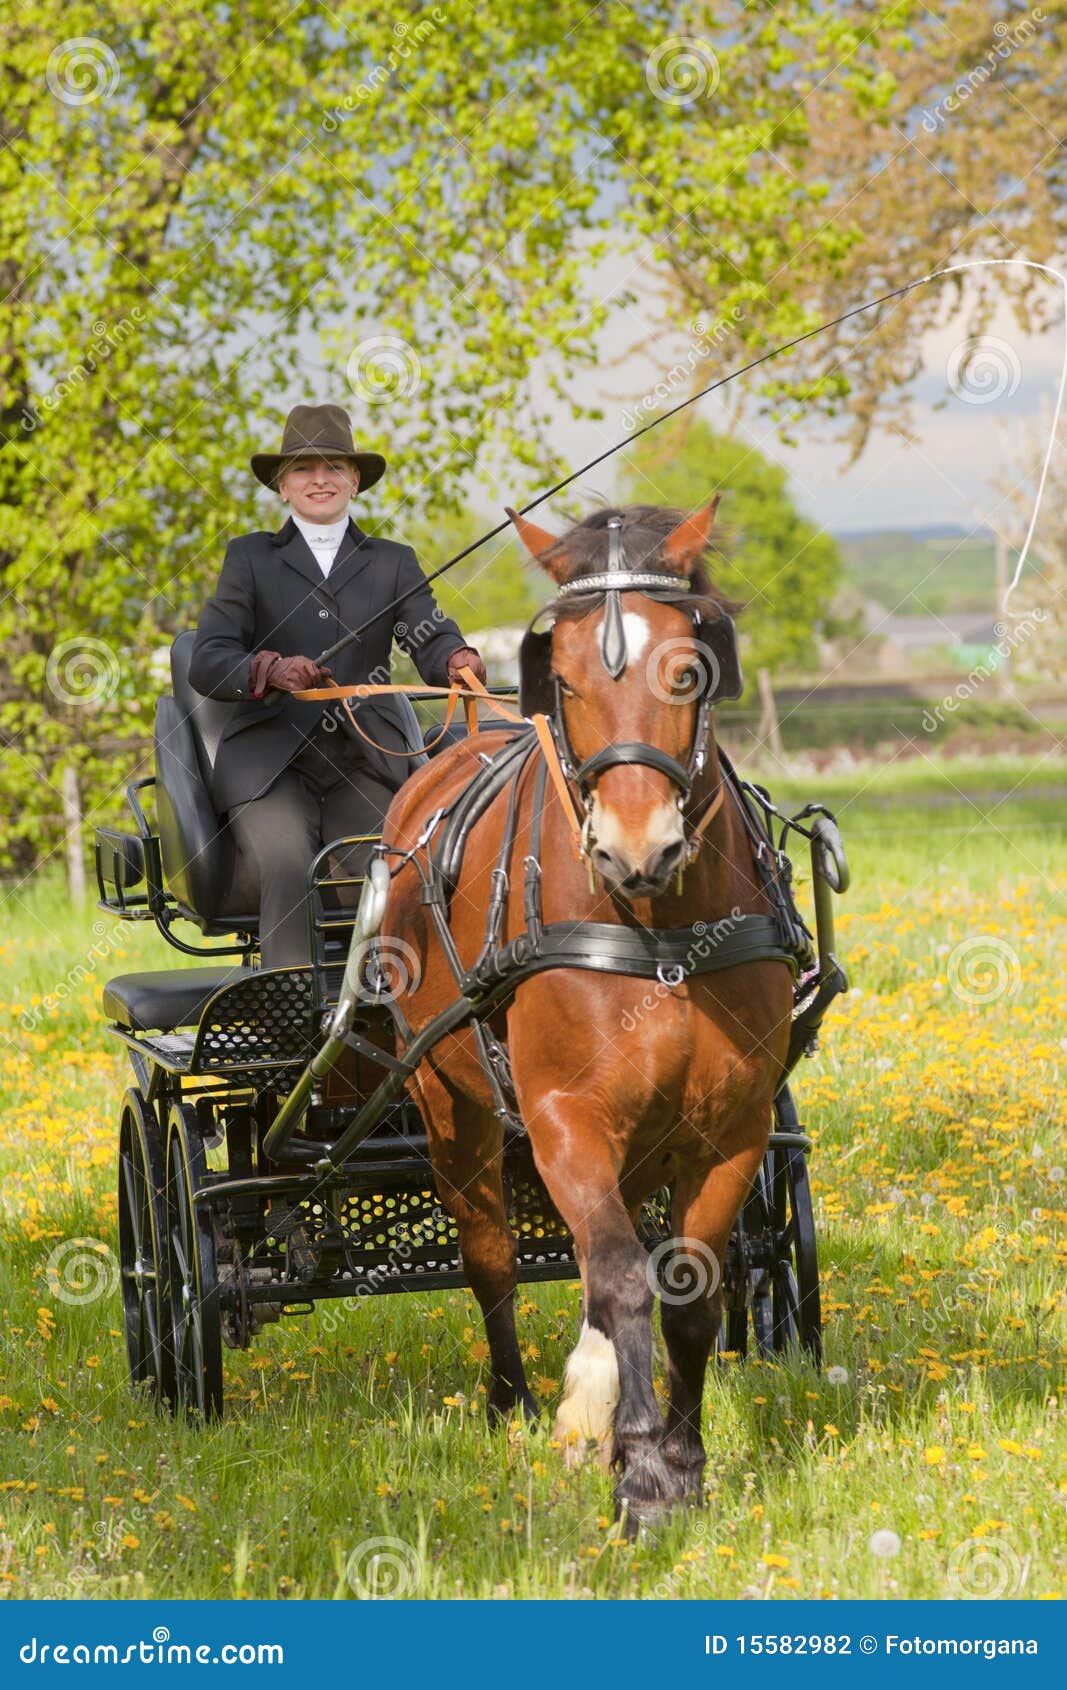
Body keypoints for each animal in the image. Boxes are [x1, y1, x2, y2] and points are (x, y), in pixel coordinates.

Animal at [375, 499, 795, 1525]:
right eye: (558, 677)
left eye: (688, 669)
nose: (634, 850)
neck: (657, 934)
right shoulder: (564, 1116)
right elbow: (615, 1273)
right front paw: (637, 1467)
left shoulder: (730, 1124)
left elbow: (683, 1287)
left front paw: (676, 1458)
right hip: (451, 1105)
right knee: (491, 1249)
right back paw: (513, 1401)